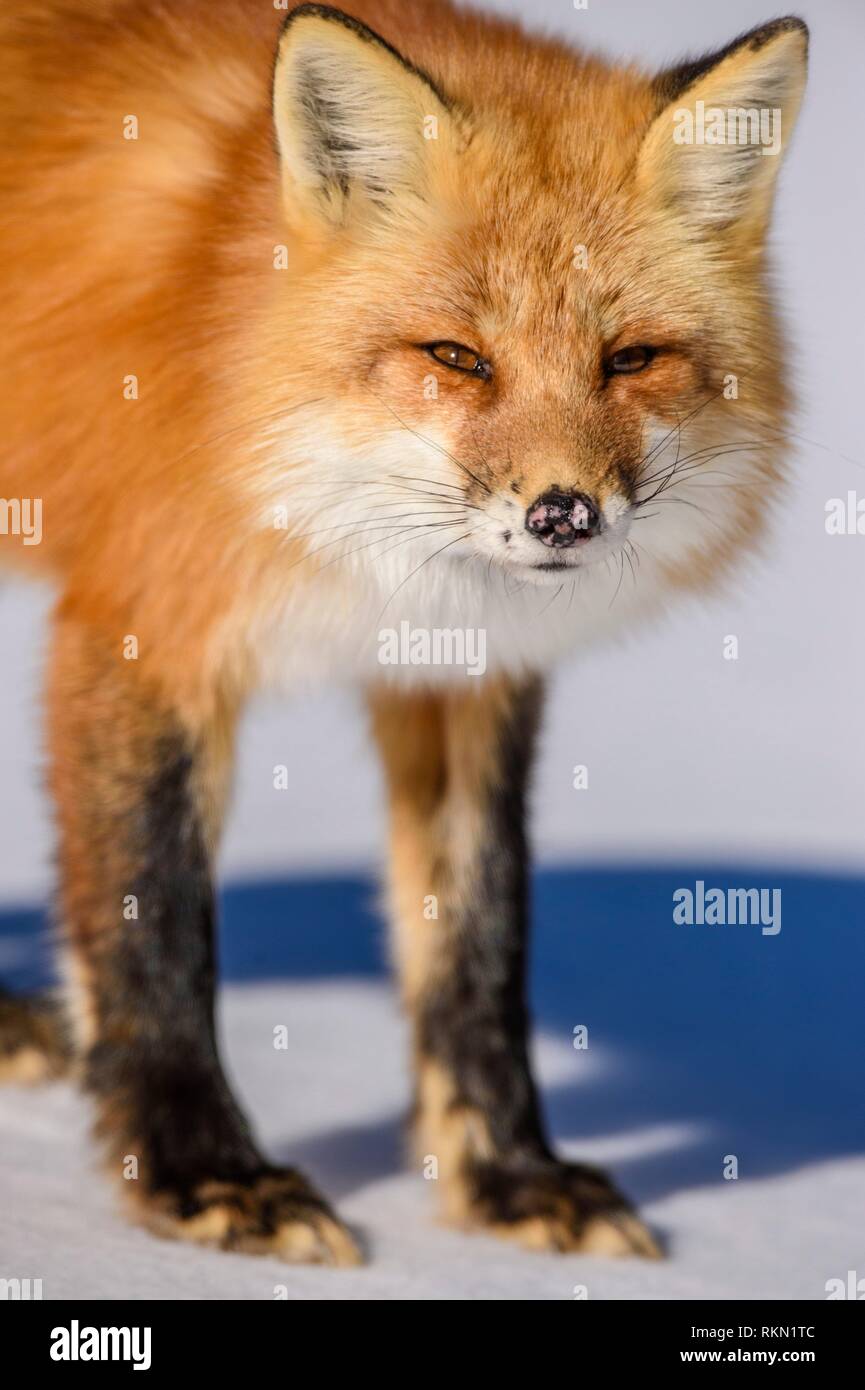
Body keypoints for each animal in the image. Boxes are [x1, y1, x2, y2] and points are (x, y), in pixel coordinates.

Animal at [0, 0, 807, 1266]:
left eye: (630, 358)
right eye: (457, 357)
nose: (563, 513)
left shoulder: (463, 678)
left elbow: (475, 944)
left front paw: (505, 1177)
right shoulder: (142, 625)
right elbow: (153, 926)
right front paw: (201, 1175)